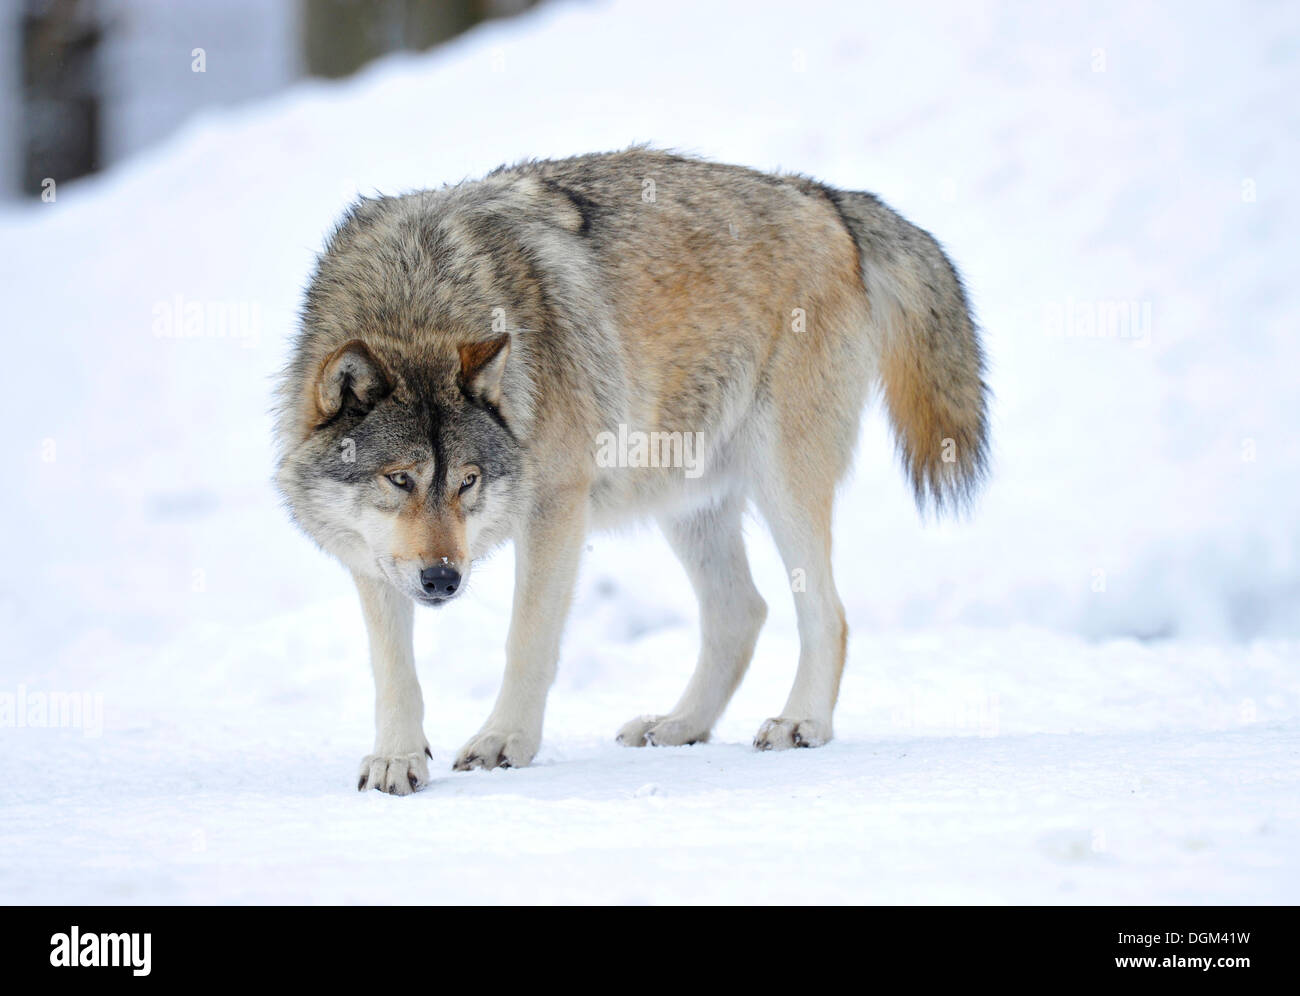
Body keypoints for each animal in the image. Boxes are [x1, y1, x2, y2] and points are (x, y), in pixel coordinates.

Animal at [275, 148, 988, 794]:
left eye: (467, 481)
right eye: (400, 480)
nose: (443, 580)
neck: (419, 297)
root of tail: (821, 196)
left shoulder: (557, 507)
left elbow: (527, 639)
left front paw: (505, 741)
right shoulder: (374, 555)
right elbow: (392, 668)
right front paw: (396, 759)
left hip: (782, 481)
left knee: (828, 615)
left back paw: (800, 722)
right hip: (687, 502)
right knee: (741, 612)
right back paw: (679, 726)